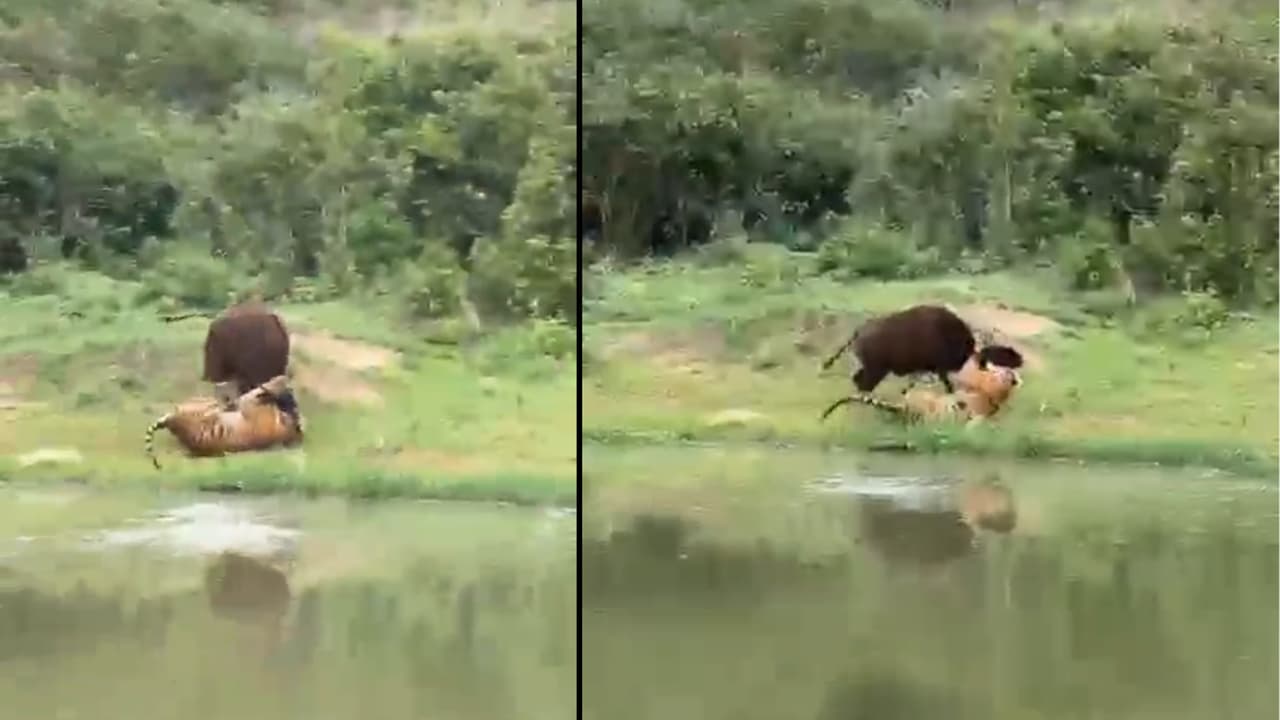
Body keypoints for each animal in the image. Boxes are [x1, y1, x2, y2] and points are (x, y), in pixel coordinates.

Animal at [145, 375, 304, 470]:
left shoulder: (251, 406)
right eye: (292, 400)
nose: (286, 382)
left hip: (199, 407)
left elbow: (255, 395)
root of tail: (173, 421)